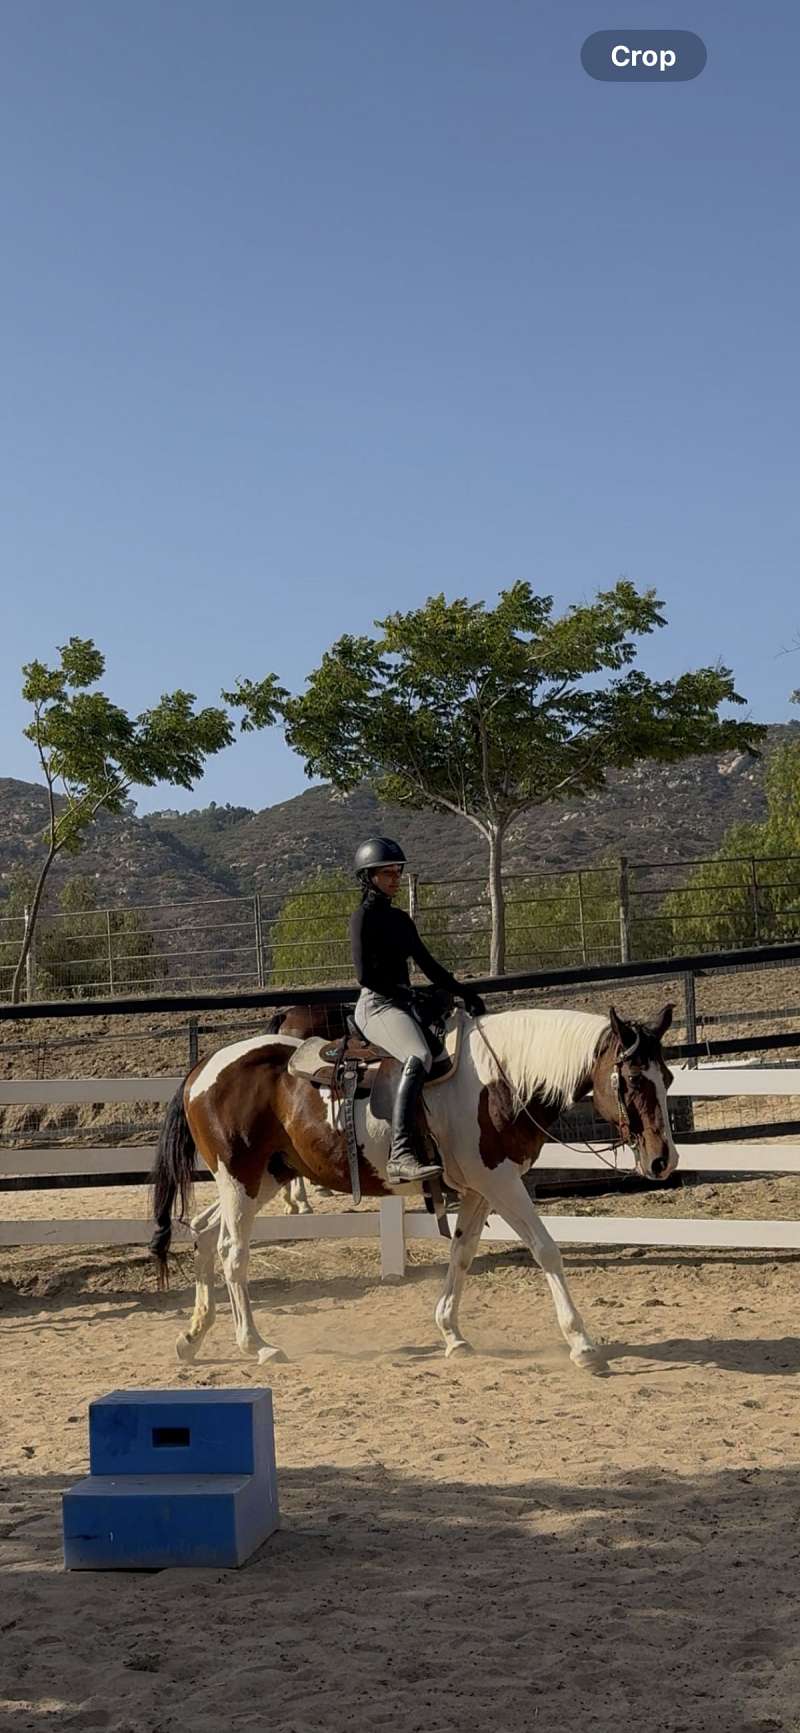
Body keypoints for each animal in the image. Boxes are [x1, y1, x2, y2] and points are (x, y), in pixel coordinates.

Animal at [150, 1000, 677, 1374]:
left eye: (668, 1077)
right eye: (632, 1079)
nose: (663, 1160)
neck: (498, 1080)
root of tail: (202, 1068)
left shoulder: (480, 1189)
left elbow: (462, 1253)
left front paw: (452, 1333)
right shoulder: (501, 1181)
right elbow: (546, 1249)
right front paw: (582, 1344)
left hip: (263, 1177)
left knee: (202, 1231)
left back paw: (192, 1338)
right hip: (239, 1178)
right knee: (232, 1252)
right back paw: (257, 1345)